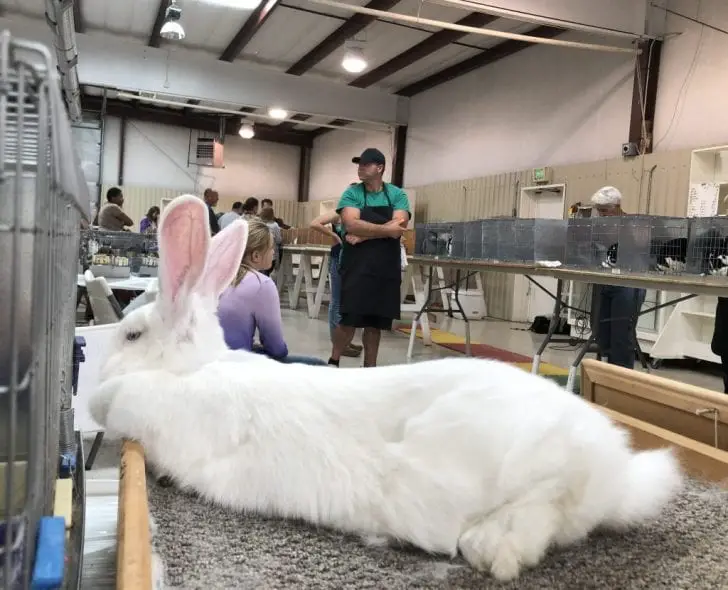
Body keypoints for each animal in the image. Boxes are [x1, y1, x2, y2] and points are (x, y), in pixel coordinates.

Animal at [89, 195, 683, 582]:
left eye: (132, 335)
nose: (96, 386)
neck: (190, 370)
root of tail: (615, 469)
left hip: (527, 473)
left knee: (541, 514)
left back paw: (492, 549)